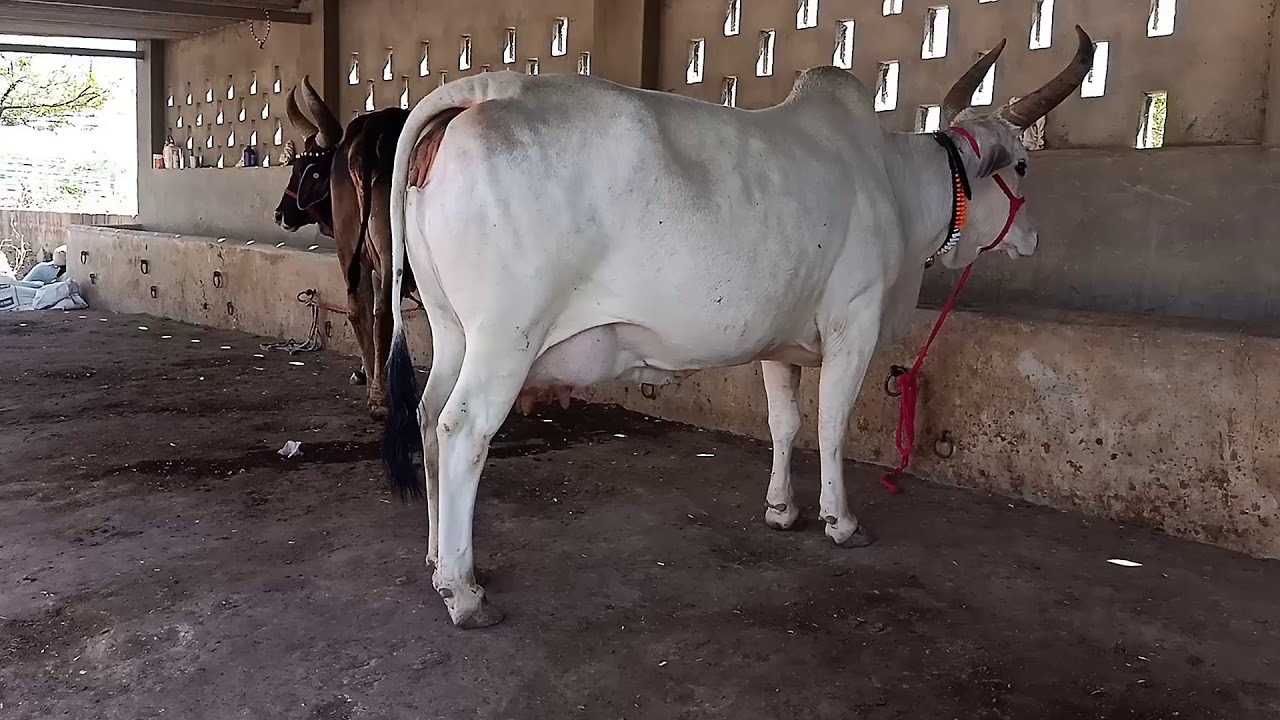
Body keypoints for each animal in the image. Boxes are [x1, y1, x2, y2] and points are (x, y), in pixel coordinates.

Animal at [273, 76, 416, 419]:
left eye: (311, 171)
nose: (279, 214)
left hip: (352, 247)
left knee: (358, 310)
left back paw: (374, 388)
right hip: (388, 250)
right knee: (382, 313)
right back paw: (382, 397)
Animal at [380, 29, 1095, 628]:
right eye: (1023, 166)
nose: (1033, 238)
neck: (893, 183)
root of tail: (486, 91)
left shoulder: (780, 340)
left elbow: (785, 421)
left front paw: (782, 509)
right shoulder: (855, 322)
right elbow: (832, 425)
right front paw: (841, 520)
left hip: (453, 330)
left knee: (427, 415)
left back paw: (437, 563)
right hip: (507, 334)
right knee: (463, 429)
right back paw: (466, 591)